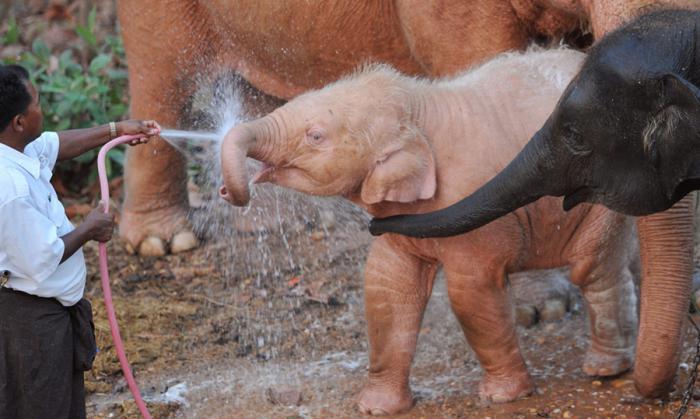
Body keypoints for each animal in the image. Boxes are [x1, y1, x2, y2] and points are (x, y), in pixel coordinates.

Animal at [219, 49, 640, 416]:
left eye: (316, 136)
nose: (227, 191)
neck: (419, 105)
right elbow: (386, 288)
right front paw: (375, 408)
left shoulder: (475, 205)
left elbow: (471, 294)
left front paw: (503, 397)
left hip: (606, 194)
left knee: (593, 269)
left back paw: (605, 369)